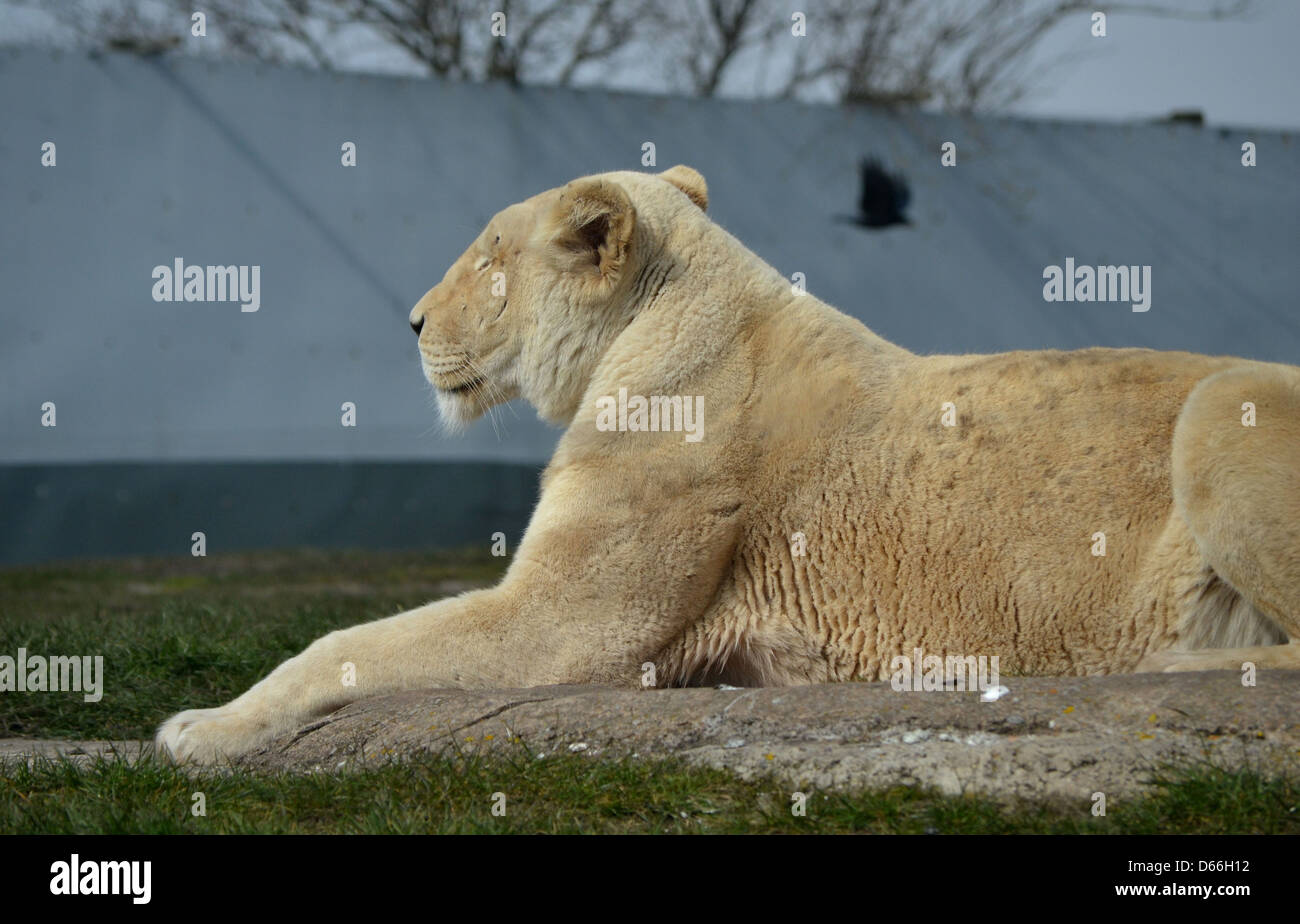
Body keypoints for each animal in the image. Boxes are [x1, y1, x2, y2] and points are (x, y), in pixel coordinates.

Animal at [156, 165, 1300, 763]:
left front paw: (198, 729)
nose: (411, 322)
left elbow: (342, 644)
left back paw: (1166, 664)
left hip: (1219, 409)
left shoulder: (564, 629)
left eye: (490, 255)